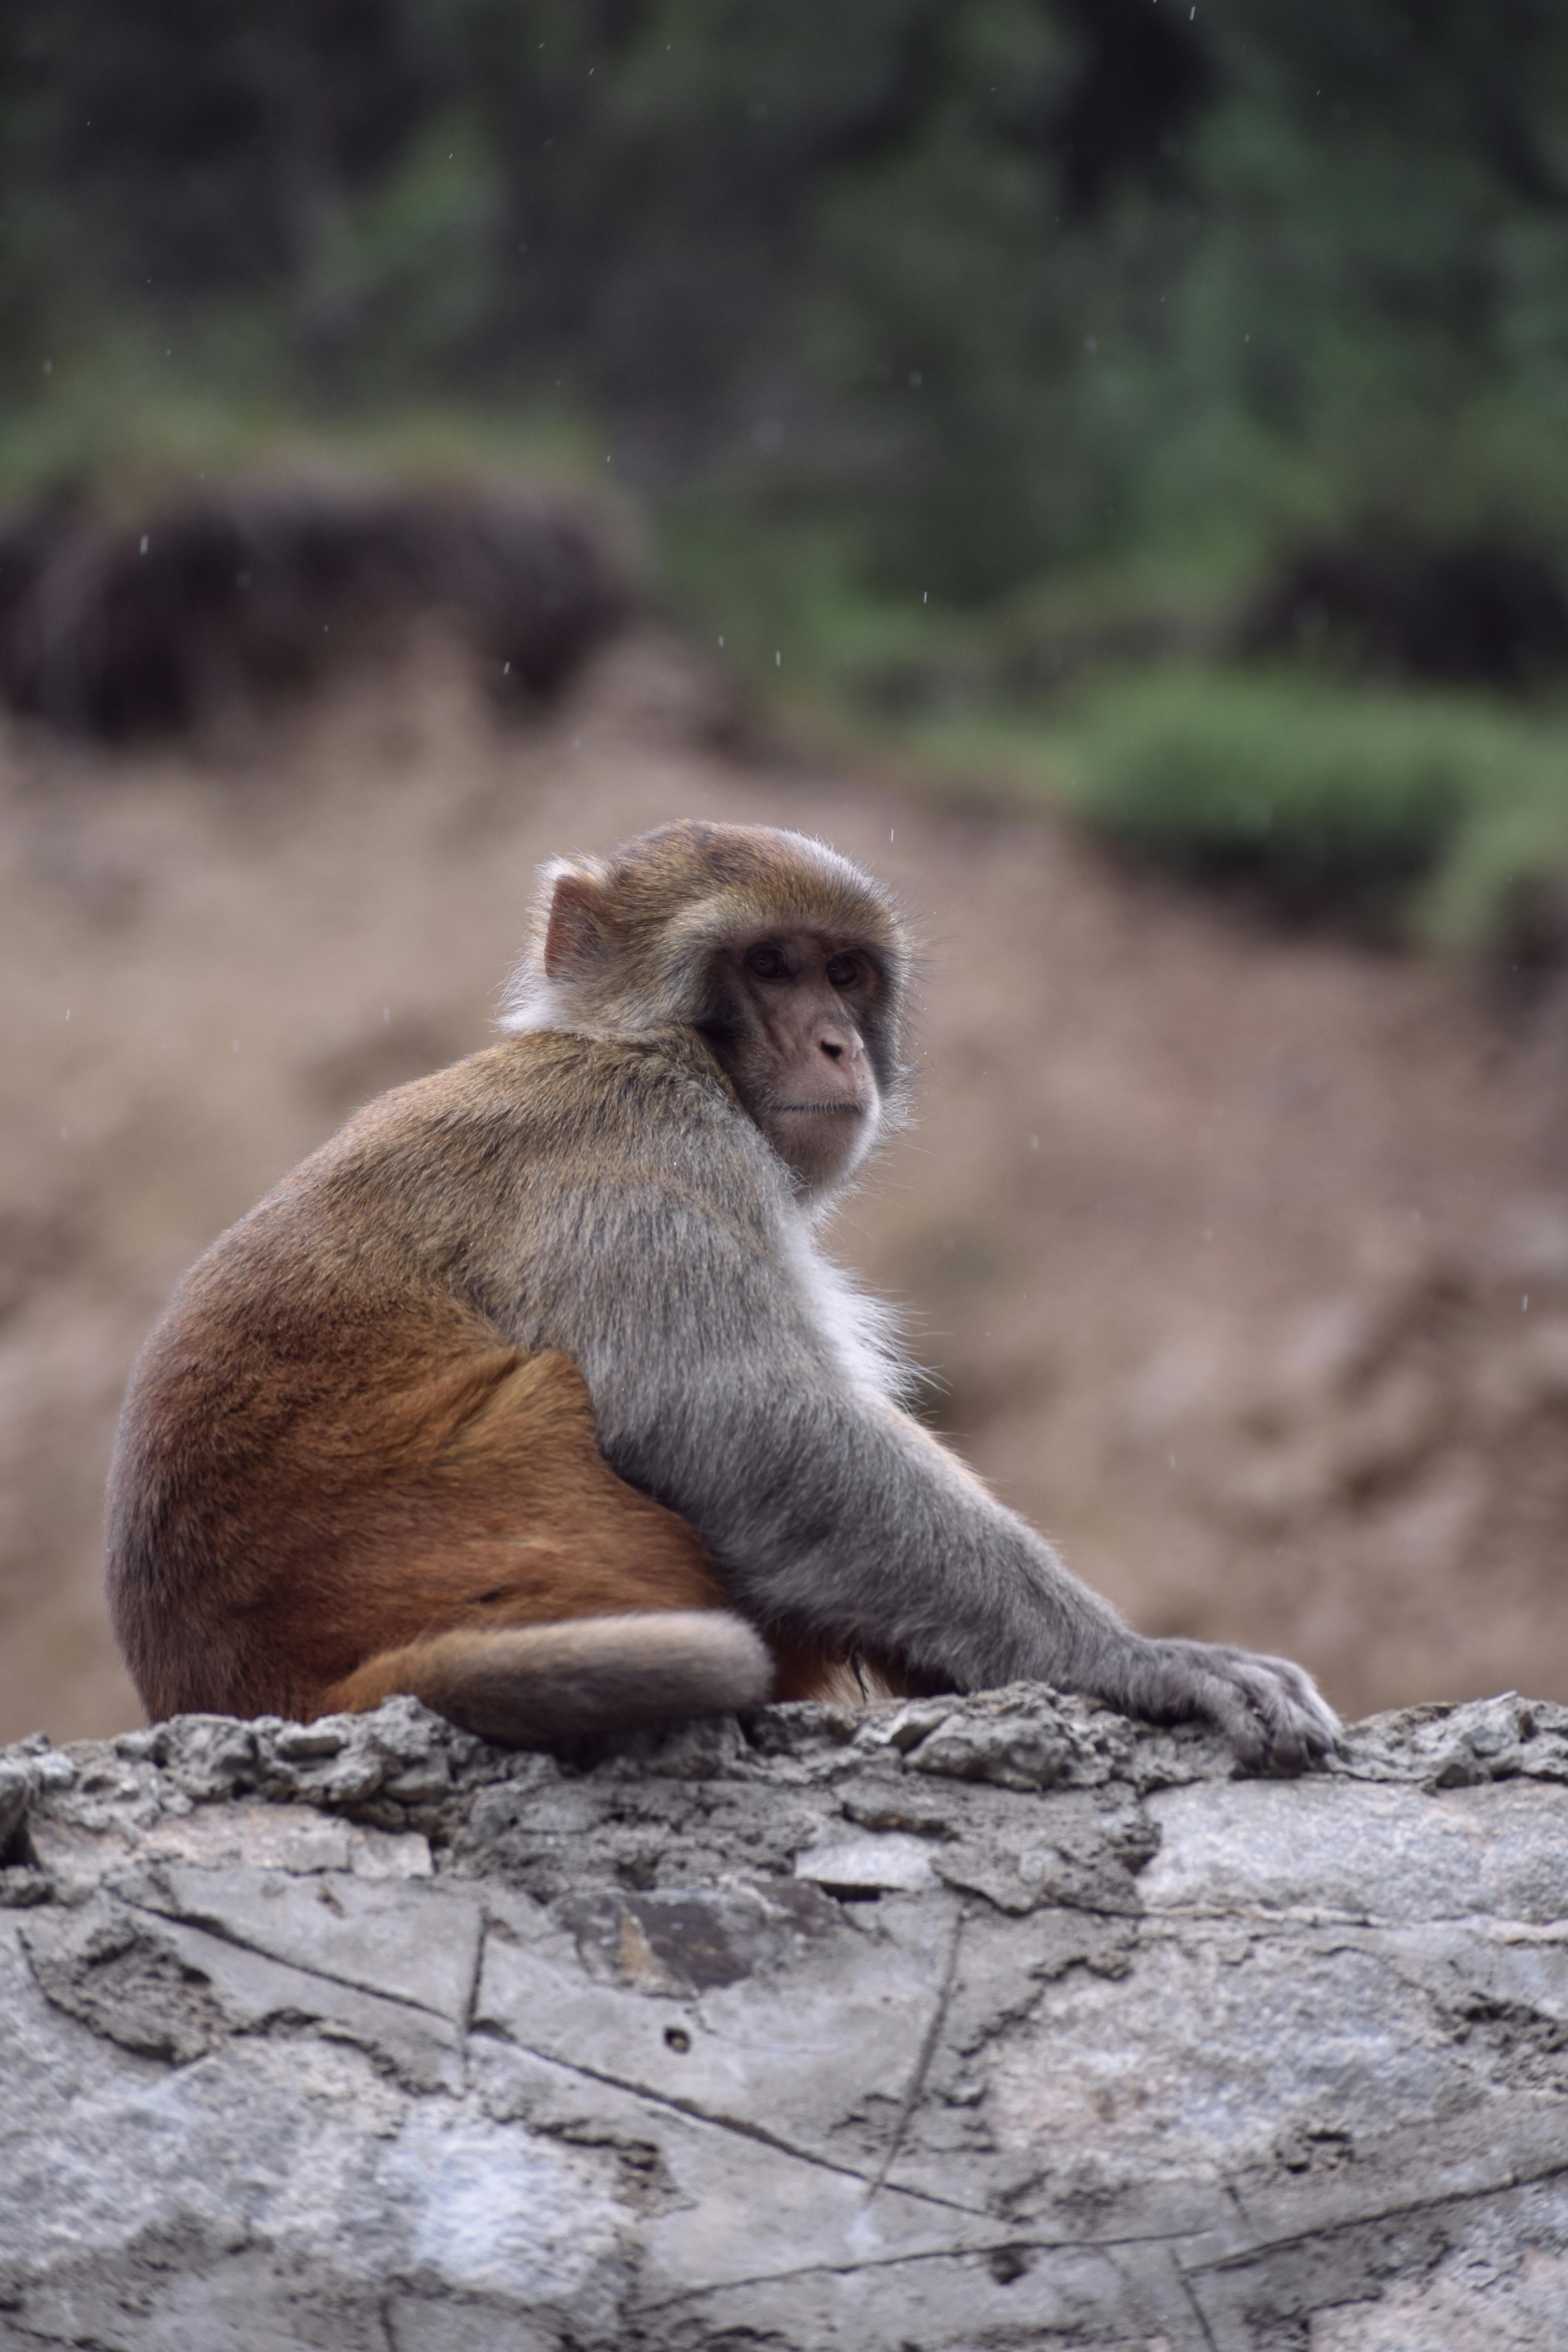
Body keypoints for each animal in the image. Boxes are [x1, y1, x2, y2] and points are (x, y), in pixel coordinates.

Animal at [105, 819, 1339, 1769]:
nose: (837, 1046)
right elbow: (726, 1420)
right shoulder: (654, 1146)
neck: (640, 1041)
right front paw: (1127, 1661)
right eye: (771, 966)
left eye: (845, 973)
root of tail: (268, 1693)